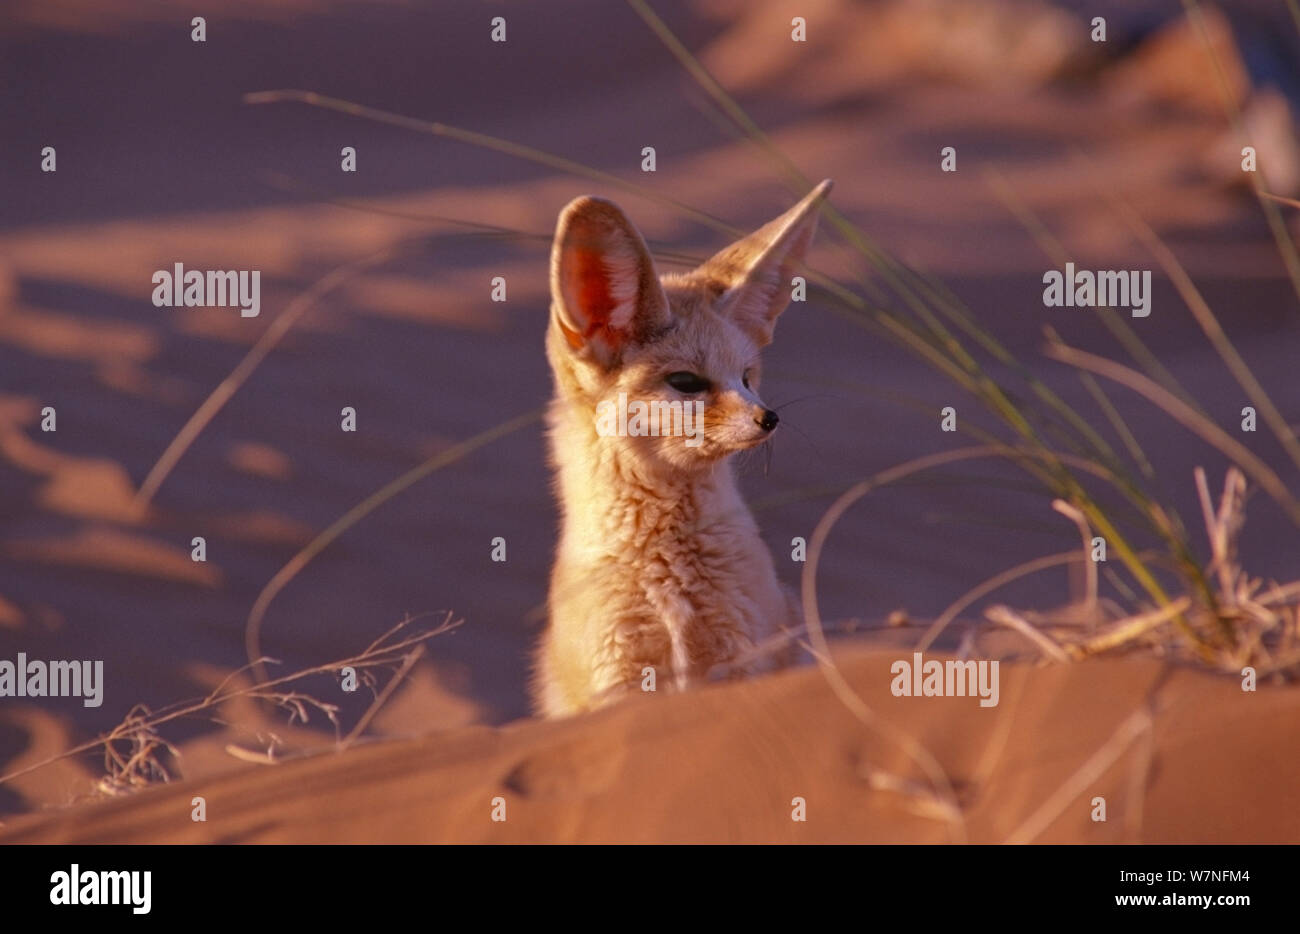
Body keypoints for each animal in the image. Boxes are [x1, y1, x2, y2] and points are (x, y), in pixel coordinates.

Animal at [533, 179, 833, 718]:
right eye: (687, 383)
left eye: (747, 378)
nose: (769, 418)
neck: (667, 572)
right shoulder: (619, 675)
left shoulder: (739, 660)